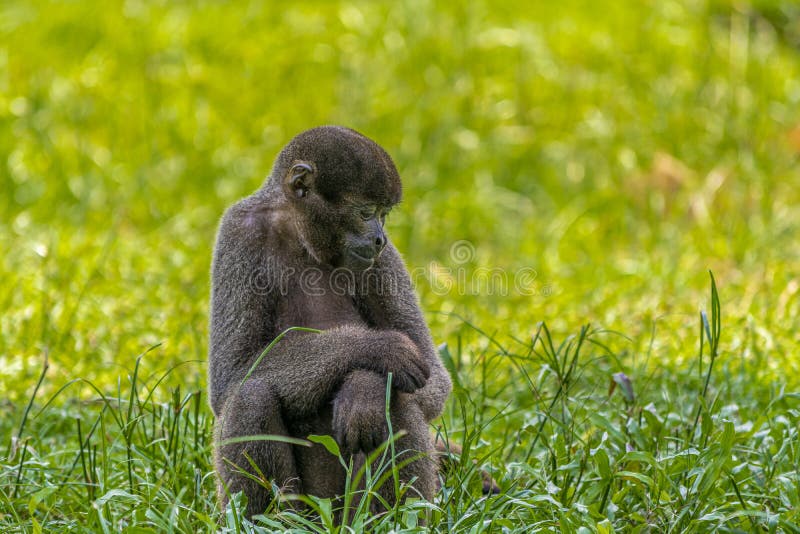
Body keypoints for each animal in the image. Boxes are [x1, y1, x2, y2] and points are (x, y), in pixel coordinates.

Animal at [208, 126, 452, 519]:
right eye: (366, 212)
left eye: (384, 214)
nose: (380, 238)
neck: (299, 236)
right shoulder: (238, 231)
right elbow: (231, 376)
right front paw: (378, 348)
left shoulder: (383, 259)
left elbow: (433, 378)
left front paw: (363, 387)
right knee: (250, 395)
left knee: (398, 395)